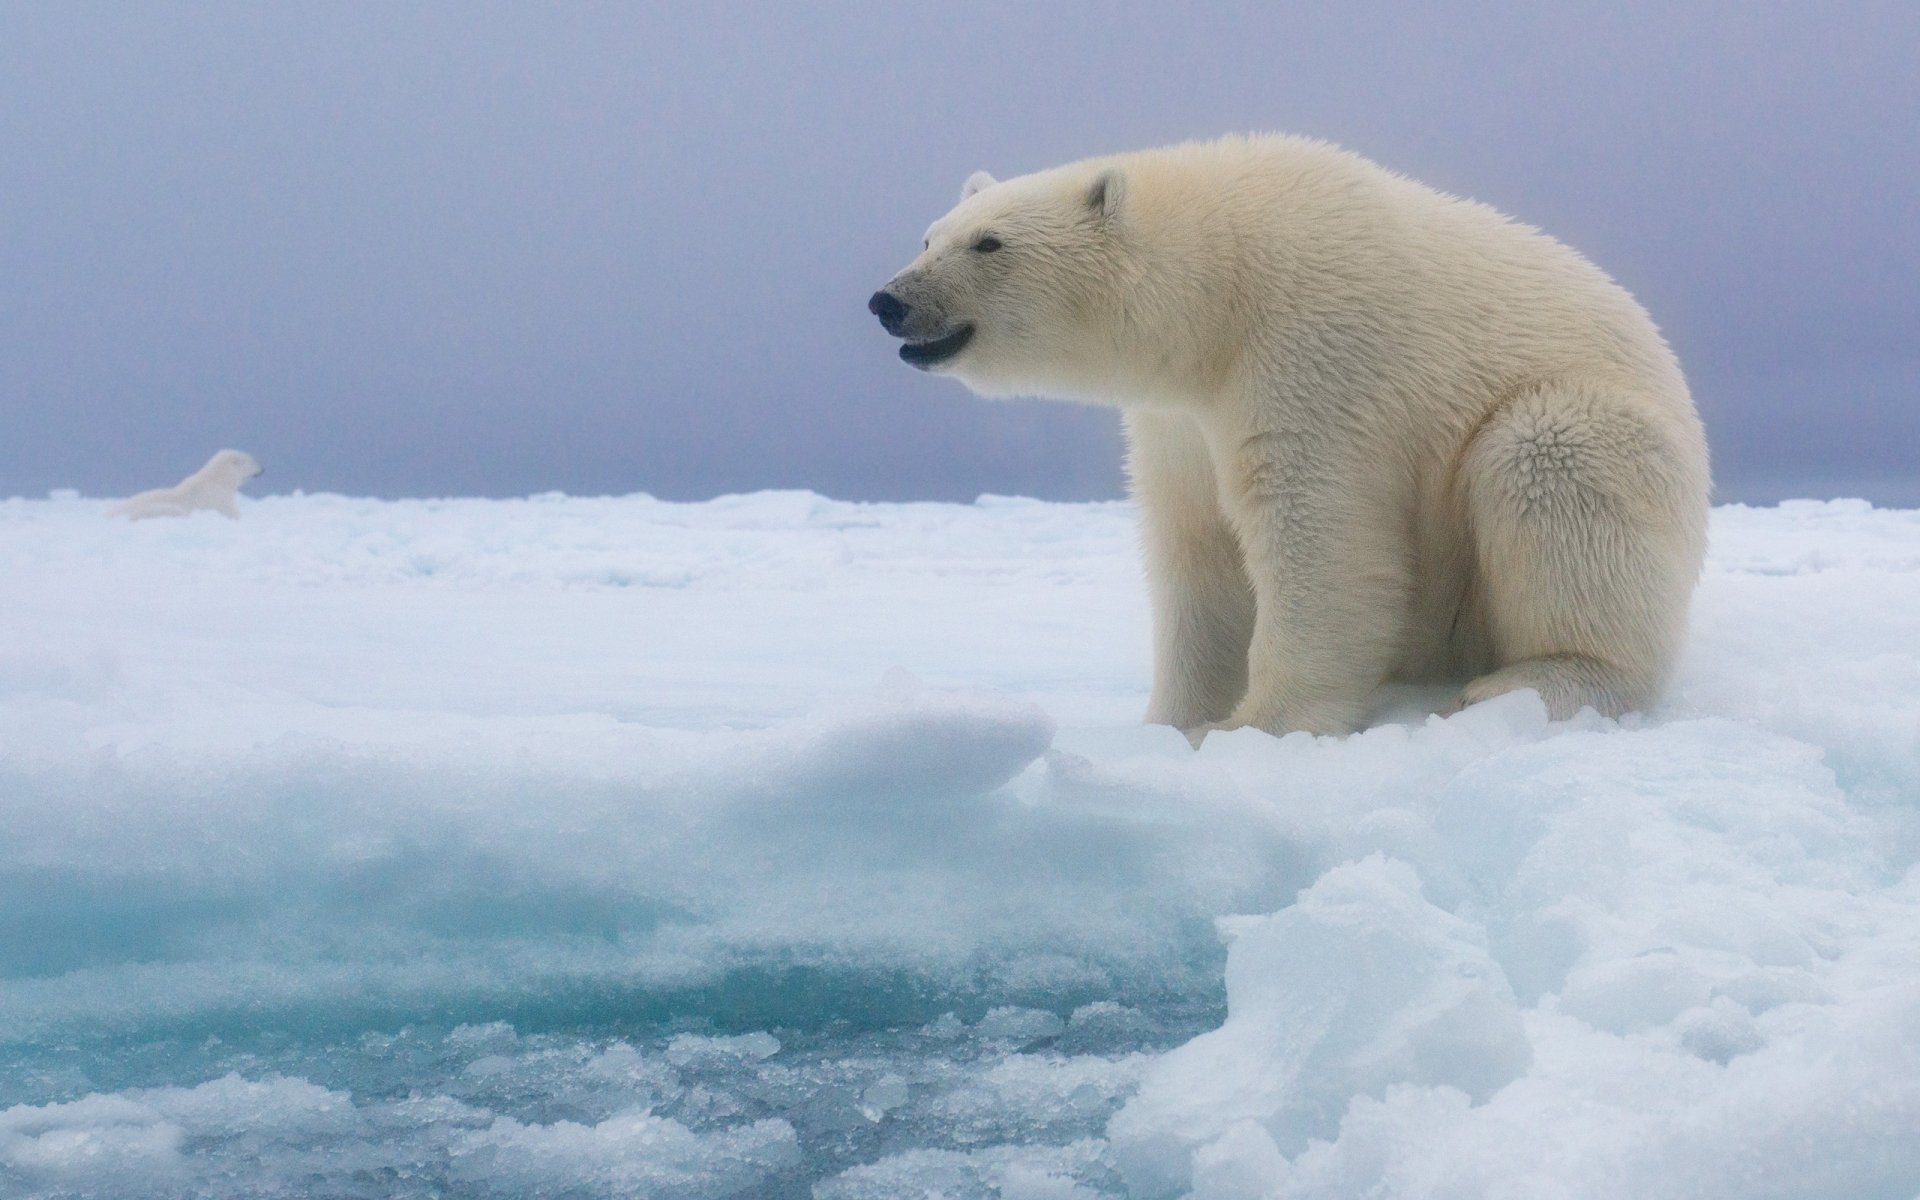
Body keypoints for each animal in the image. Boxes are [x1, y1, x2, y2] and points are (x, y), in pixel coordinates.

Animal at [109, 449, 264, 521]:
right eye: (252, 460)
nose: (262, 469)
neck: (218, 480)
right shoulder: (218, 499)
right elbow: (232, 513)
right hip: (159, 510)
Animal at [870, 134, 1710, 741]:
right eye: (929, 235)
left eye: (990, 243)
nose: (888, 300)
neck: (1221, 293)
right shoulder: (1180, 419)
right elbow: (1196, 548)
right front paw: (1171, 721)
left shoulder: (1315, 356)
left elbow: (1323, 540)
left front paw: (1257, 727)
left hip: (1595, 434)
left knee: (1548, 465)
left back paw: (1535, 682)